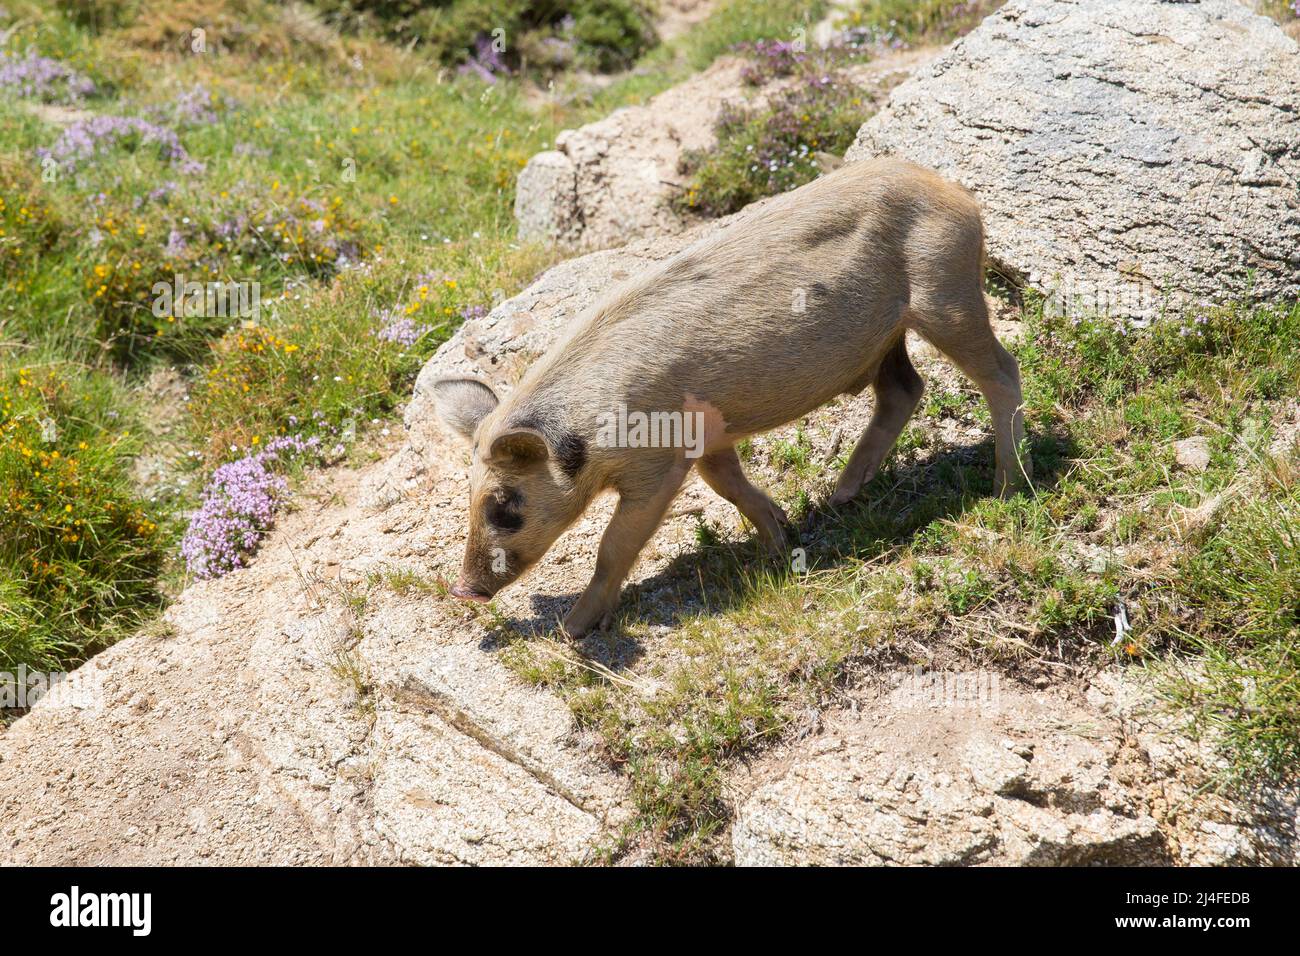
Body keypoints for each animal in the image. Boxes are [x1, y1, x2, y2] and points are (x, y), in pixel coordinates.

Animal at [433, 157, 1029, 638]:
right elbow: (728, 485)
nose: (462, 589)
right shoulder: (708, 433)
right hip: (886, 337)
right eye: (469, 495)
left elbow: (614, 544)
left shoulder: (657, 465)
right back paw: (842, 496)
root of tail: (958, 195)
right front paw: (780, 540)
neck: (589, 434)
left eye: (505, 506)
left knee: (1002, 372)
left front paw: (572, 630)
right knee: (905, 390)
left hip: (945, 292)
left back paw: (1006, 489)